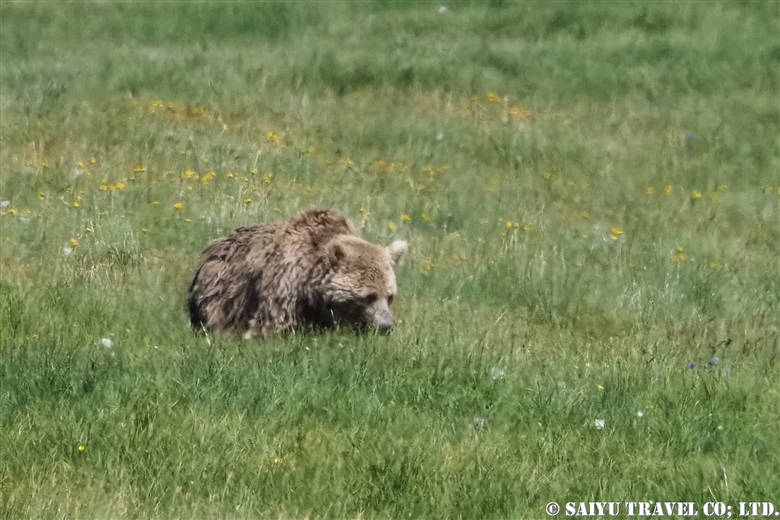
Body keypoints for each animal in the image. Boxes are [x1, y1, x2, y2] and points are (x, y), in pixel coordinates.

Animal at [187, 208, 408, 339]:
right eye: (369, 296)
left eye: (390, 296)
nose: (386, 325)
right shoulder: (284, 285)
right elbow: (272, 324)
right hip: (223, 290)